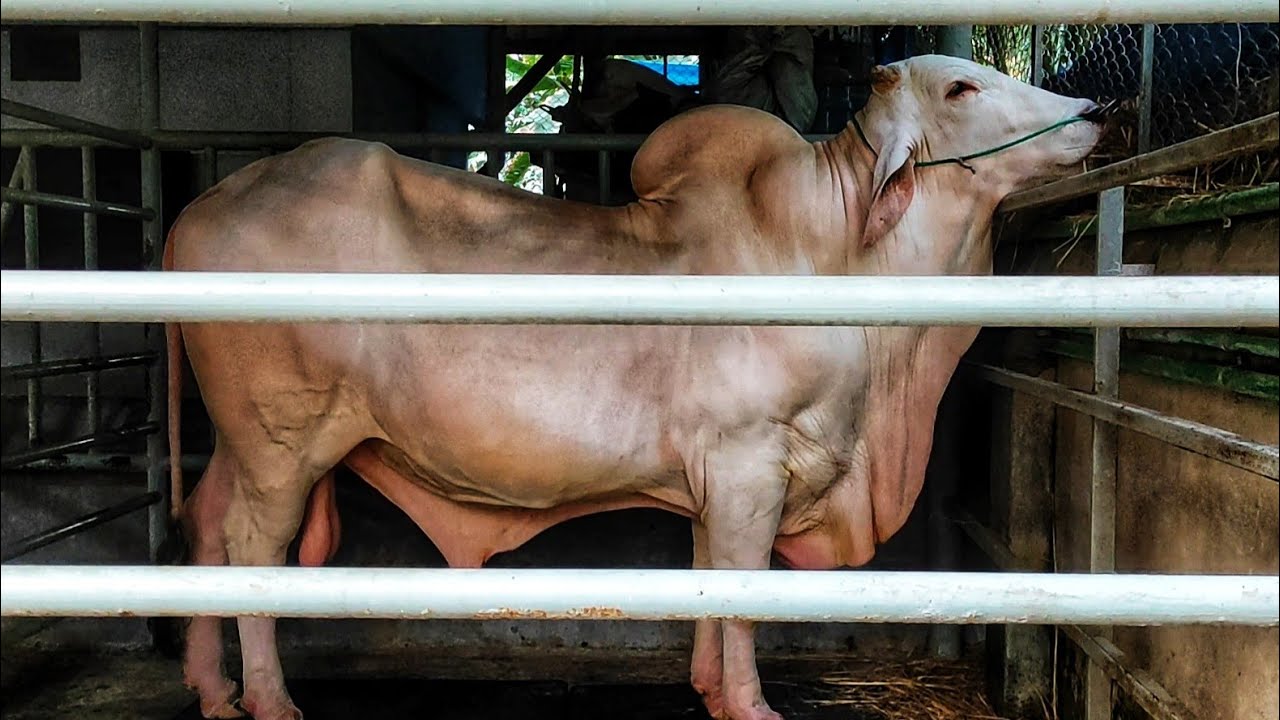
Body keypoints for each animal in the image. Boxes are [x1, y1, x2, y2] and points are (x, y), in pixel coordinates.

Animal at [163, 55, 1104, 720]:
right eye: (961, 86)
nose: (1092, 113)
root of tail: (200, 208)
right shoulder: (751, 462)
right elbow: (743, 589)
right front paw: (750, 704)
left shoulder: (718, 480)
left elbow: (706, 576)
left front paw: (709, 689)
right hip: (283, 441)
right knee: (252, 549)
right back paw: (270, 700)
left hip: (242, 442)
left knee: (205, 525)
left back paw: (212, 688)